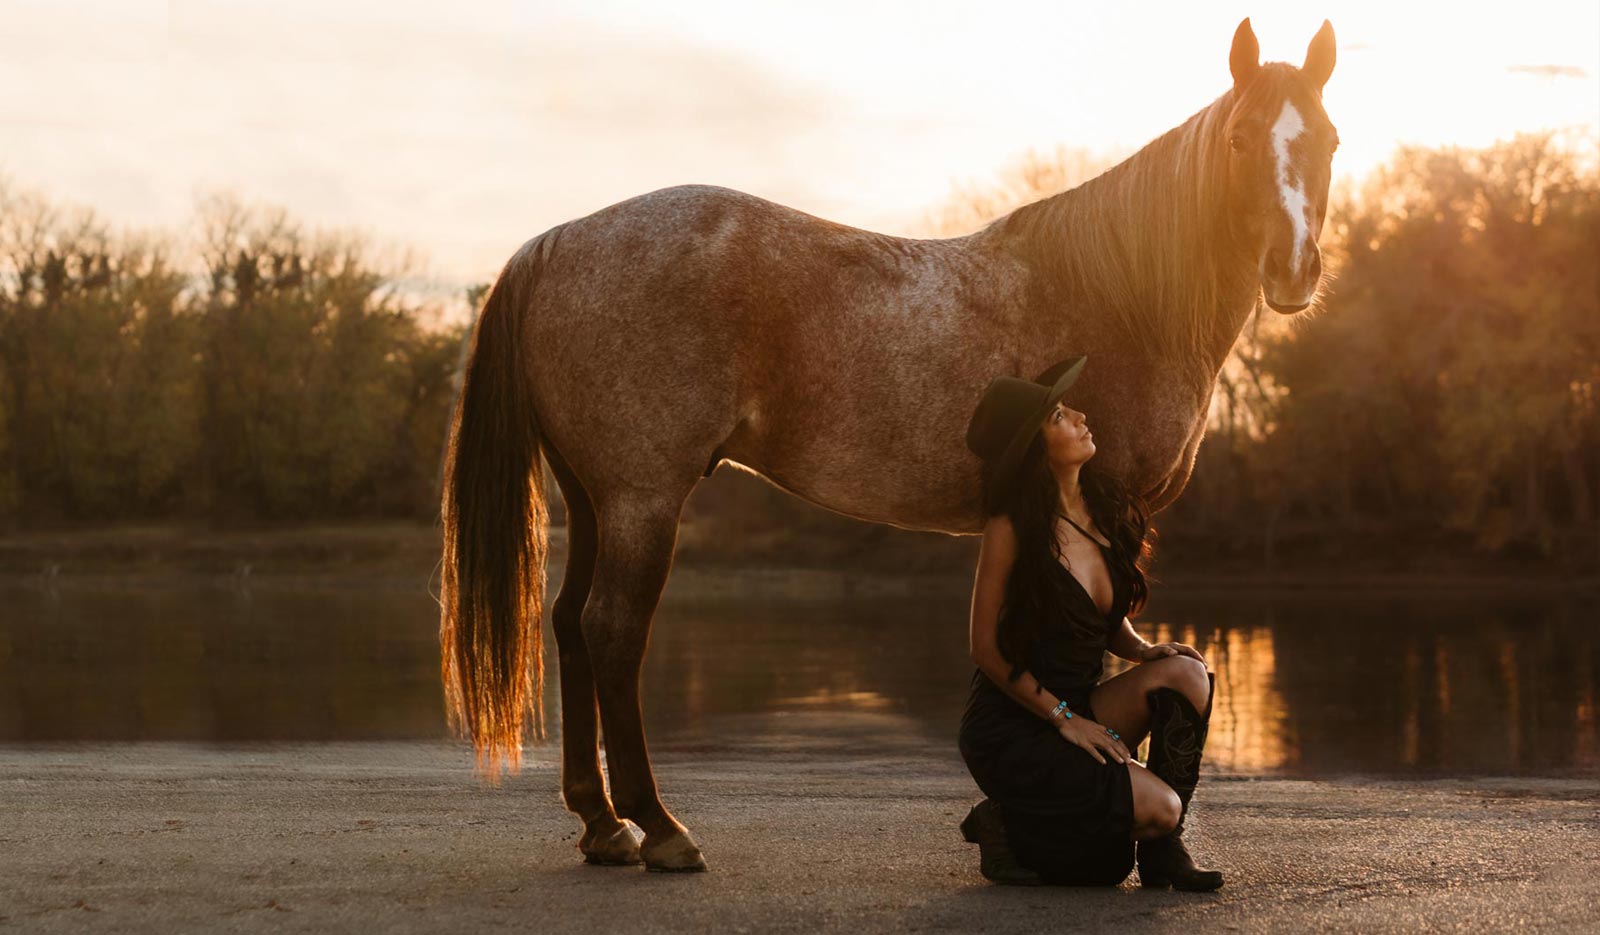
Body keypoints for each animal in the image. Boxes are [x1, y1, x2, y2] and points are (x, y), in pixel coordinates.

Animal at [439, 17, 1339, 871]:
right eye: (1239, 140)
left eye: (1328, 140)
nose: (1293, 271)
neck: (1124, 296)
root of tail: (558, 240)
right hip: (642, 499)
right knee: (613, 630)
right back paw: (659, 829)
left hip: (592, 499)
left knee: (568, 624)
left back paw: (601, 824)